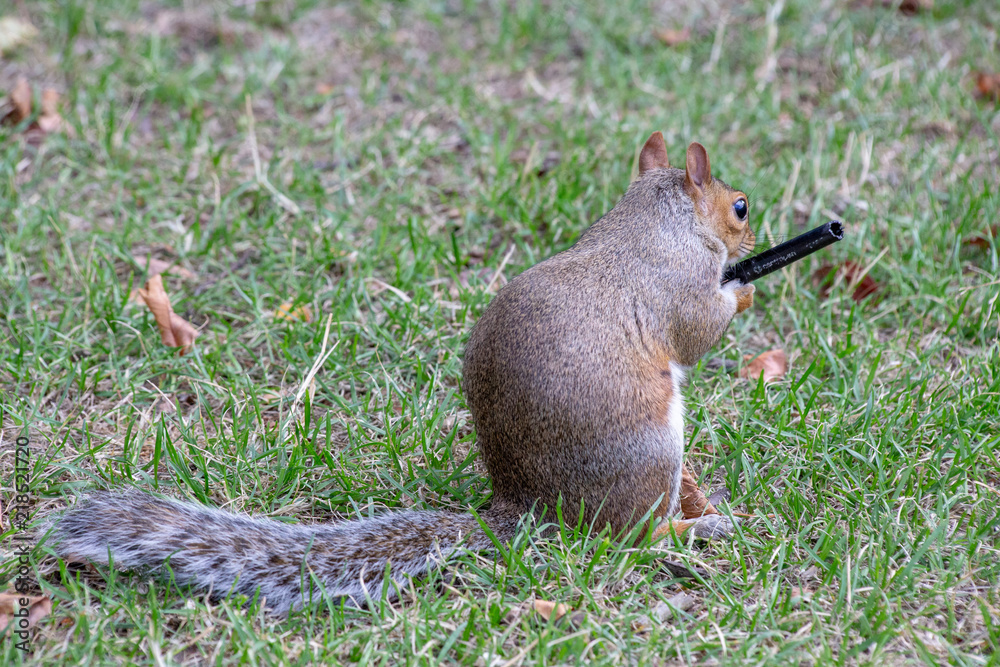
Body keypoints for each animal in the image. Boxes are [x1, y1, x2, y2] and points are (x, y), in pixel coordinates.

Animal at [49, 132, 757, 614]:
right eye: (741, 207)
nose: (755, 233)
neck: (654, 220)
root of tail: (530, 506)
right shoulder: (677, 287)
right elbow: (700, 327)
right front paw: (744, 294)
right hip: (650, 448)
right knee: (634, 536)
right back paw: (694, 527)